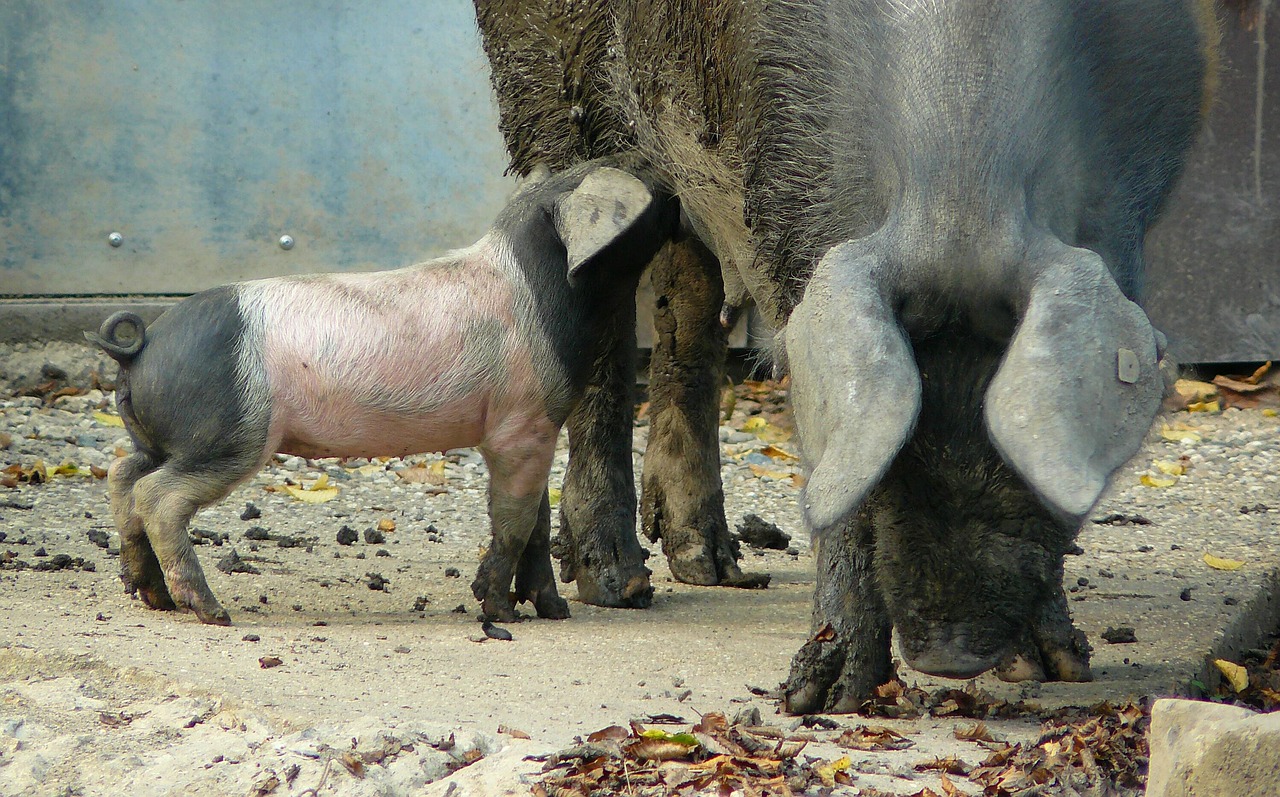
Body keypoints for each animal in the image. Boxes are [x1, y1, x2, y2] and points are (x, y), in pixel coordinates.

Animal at [86, 160, 675, 625]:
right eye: (649, 188)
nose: (676, 194)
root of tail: (141, 347)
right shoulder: (520, 424)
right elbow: (514, 520)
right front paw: (499, 613)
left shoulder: (531, 430)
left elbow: (537, 520)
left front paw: (556, 611)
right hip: (230, 432)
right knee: (156, 496)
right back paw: (212, 612)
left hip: (160, 437)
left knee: (122, 475)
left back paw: (153, 598)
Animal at [474, 0, 1217, 709]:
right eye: (900, 454)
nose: (948, 656)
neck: (962, 199)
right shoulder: (788, 204)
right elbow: (837, 456)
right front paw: (823, 700)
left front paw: (1056, 669)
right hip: (544, 86)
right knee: (604, 299)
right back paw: (618, 585)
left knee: (686, 300)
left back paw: (712, 567)